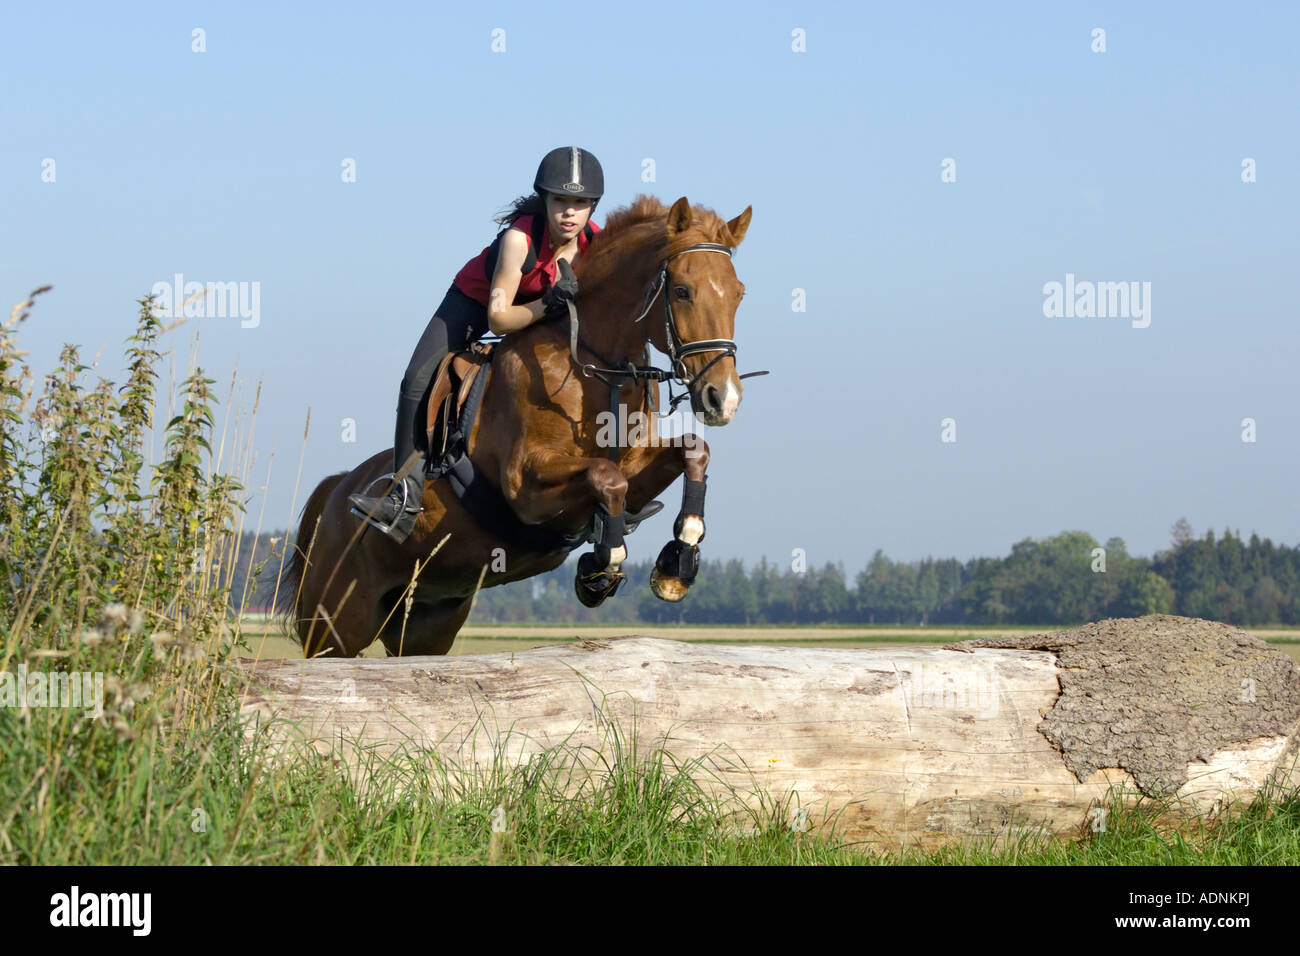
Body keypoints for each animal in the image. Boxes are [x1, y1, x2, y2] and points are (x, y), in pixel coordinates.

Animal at [276, 194, 753, 657]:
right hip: (335, 625)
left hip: (427, 623)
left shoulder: (634, 465)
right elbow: (606, 477)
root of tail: (336, 490)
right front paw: (602, 566)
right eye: (682, 291)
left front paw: (677, 562)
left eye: (739, 293)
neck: (594, 365)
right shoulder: (525, 485)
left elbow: (692, 451)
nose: (723, 398)